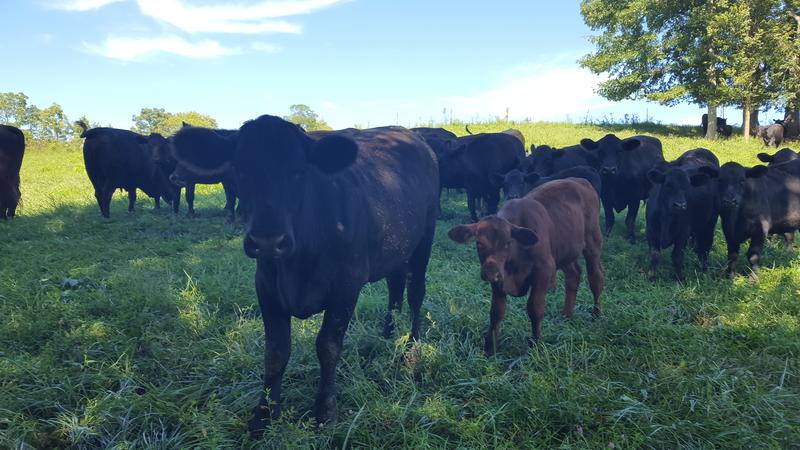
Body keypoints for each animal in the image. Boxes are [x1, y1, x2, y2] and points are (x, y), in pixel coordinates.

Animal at [169, 115, 439, 433]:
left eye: (299, 172)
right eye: (241, 169)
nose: (267, 240)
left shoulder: (347, 285)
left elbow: (328, 346)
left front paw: (325, 411)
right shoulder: (266, 287)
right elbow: (275, 352)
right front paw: (263, 415)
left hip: (425, 238)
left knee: (416, 291)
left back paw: (411, 348)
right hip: (395, 248)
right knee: (395, 286)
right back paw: (386, 336)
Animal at [448, 178, 604, 355]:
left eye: (507, 243)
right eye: (479, 243)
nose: (490, 272)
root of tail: (581, 180)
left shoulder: (544, 271)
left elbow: (535, 309)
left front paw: (535, 343)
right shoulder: (499, 280)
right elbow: (496, 312)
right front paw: (490, 347)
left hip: (592, 244)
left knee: (596, 278)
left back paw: (596, 314)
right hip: (565, 251)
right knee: (573, 275)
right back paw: (567, 315)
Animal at [645, 148, 719, 281]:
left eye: (687, 186)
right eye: (668, 185)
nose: (680, 205)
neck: (667, 218)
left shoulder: (683, 233)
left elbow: (677, 256)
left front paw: (679, 278)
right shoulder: (651, 230)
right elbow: (654, 254)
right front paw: (651, 277)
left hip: (710, 222)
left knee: (705, 245)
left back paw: (704, 268)